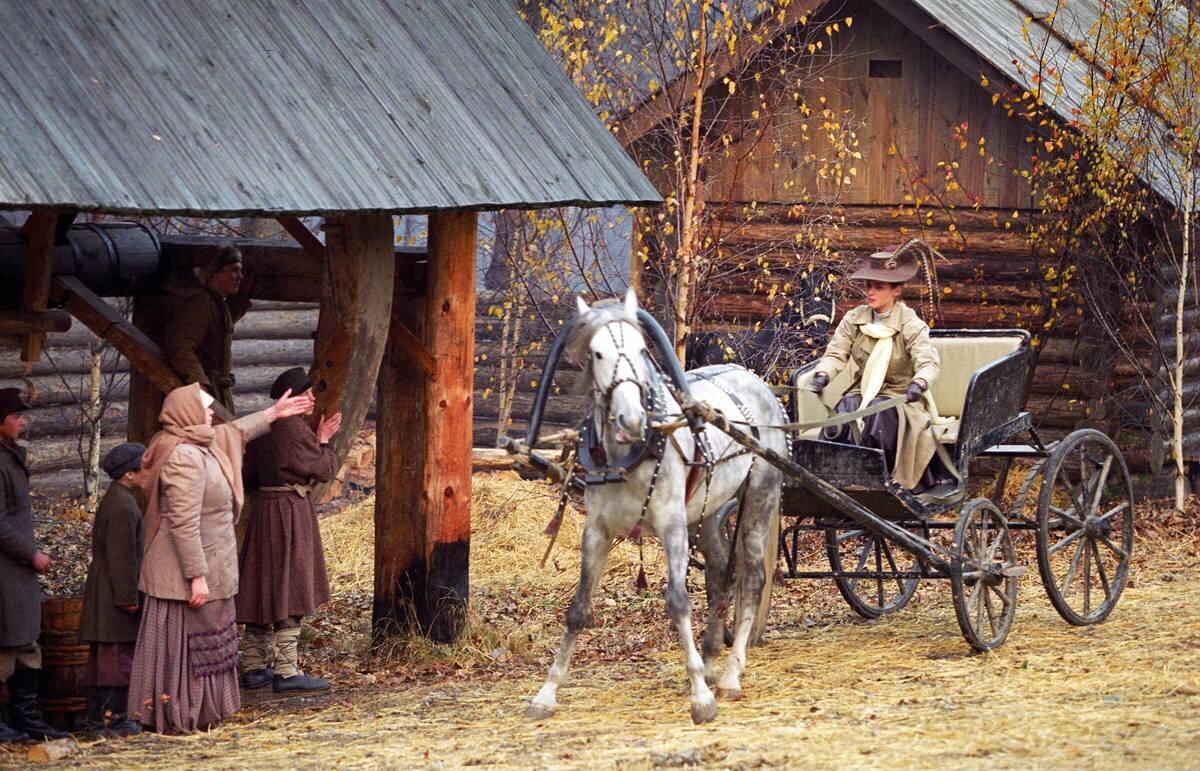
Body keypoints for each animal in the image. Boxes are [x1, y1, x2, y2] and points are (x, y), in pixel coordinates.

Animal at [525, 287, 787, 720]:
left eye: (642, 349)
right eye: (597, 353)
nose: (631, 420)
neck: (630, 454)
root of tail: (757, 382)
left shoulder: (672, 527)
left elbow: (678, 602)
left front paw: (700, 698)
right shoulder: (596, 531)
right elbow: (578, 608)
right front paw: (547, 692)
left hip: (758, 499)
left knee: (751, 579)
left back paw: (730, 673)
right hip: (707, 513)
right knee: (720, 573)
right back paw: (710, 659)